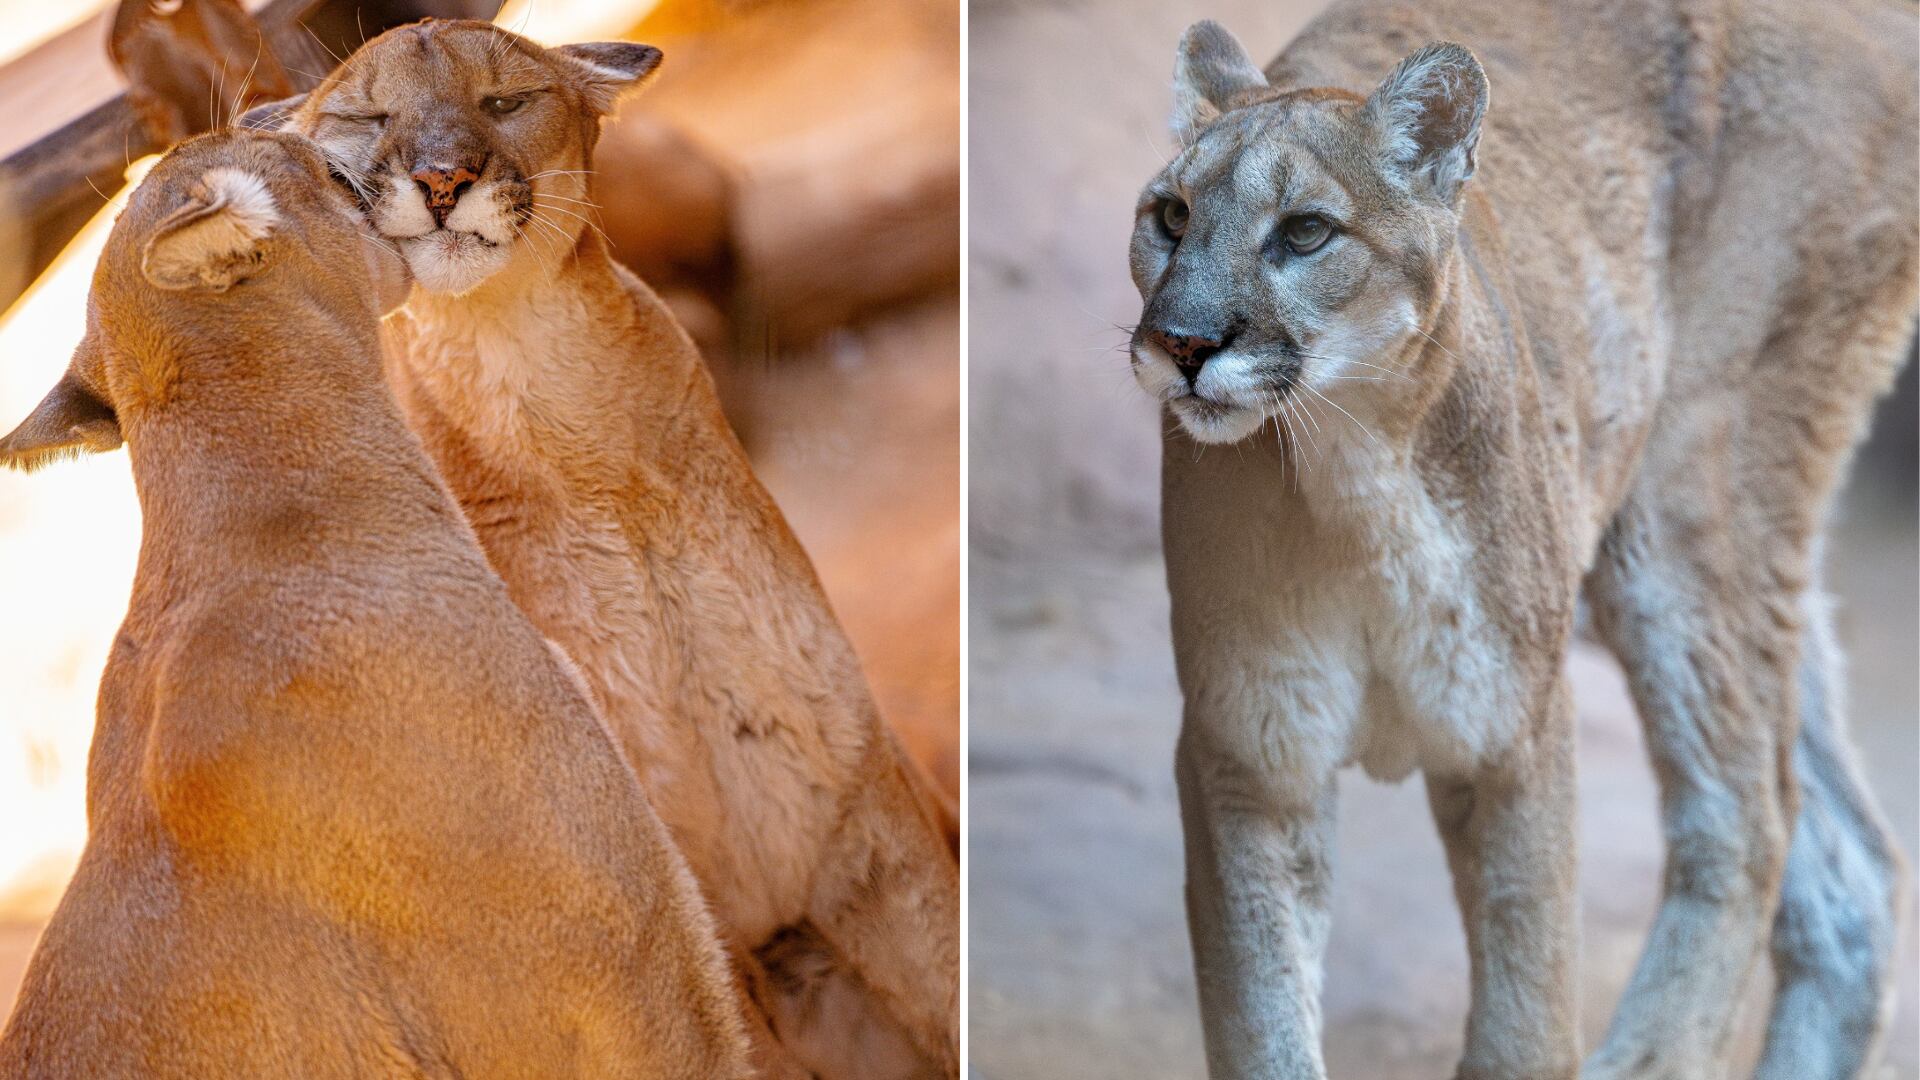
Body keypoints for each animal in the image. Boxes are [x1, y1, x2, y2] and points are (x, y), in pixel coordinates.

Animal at [1129, 2, 1915, 1077]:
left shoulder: (1514, 738)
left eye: (1305, 232)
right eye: (1170, 216)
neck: (1354, 477)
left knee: (1750, 812)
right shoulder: (1250, 757)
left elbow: (1525, 1016)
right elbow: (1265, 1024)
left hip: (1686, 488)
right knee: (1850, 863)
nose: (1183, 342)